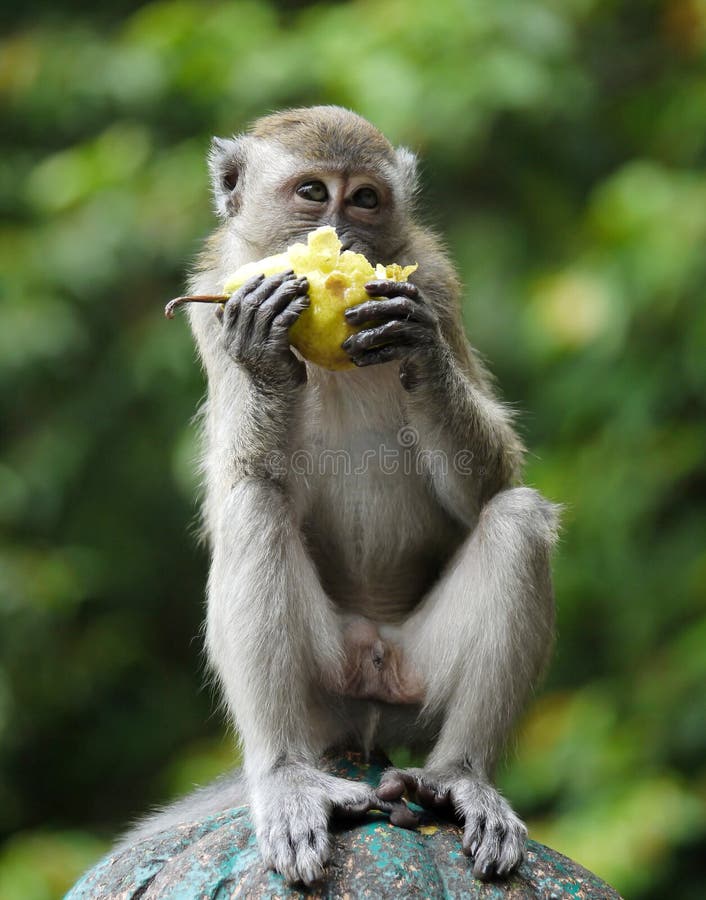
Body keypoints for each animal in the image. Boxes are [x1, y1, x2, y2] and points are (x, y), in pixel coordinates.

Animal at [122, 106, 560, 886]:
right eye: (311, 193)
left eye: (364, 199)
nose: (343, 239)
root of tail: (370, 695)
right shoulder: (216, 295)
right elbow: (238, 486)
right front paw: (265, 354)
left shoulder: (436, 280)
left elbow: (493, 483)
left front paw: (421, 350)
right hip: (323, 686)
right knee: (253, 511)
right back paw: (286, 775)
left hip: (415, 676)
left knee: (519, 519)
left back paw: (459, 777)